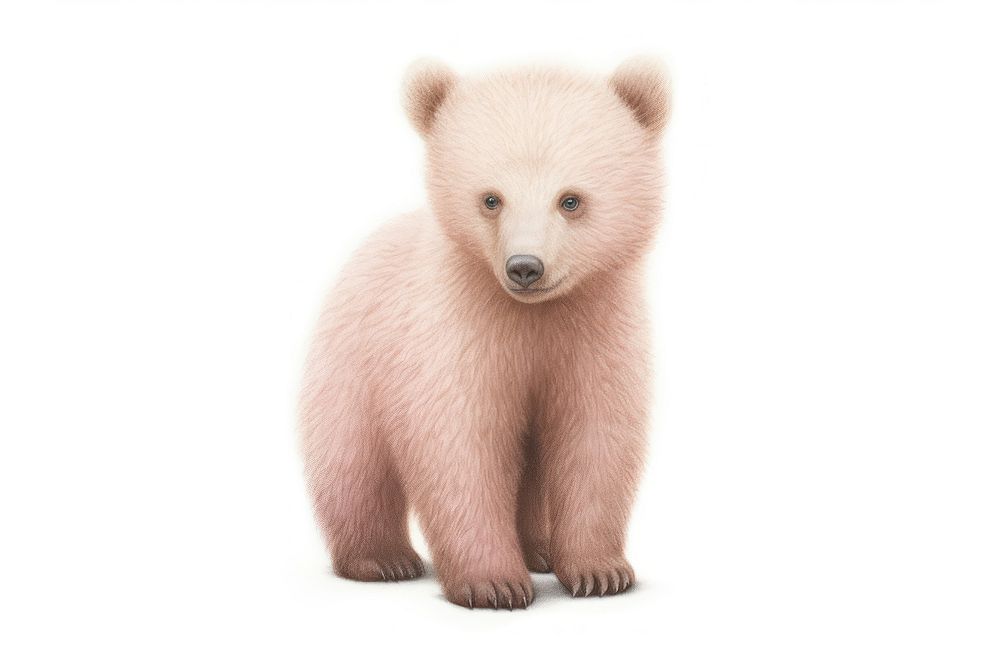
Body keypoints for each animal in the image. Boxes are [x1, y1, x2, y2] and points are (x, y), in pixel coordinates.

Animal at [299, 57, 670, 609]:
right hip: (351, 363)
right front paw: (495, 584)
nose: (525, 267)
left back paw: (539, 550)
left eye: (571, 200)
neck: (533, 314)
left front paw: (599, 572)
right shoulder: (455, 332)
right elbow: (461, 445)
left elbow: (594, 437)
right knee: (353, 464)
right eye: (491, 199)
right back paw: (382, 559)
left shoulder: (596, 330)